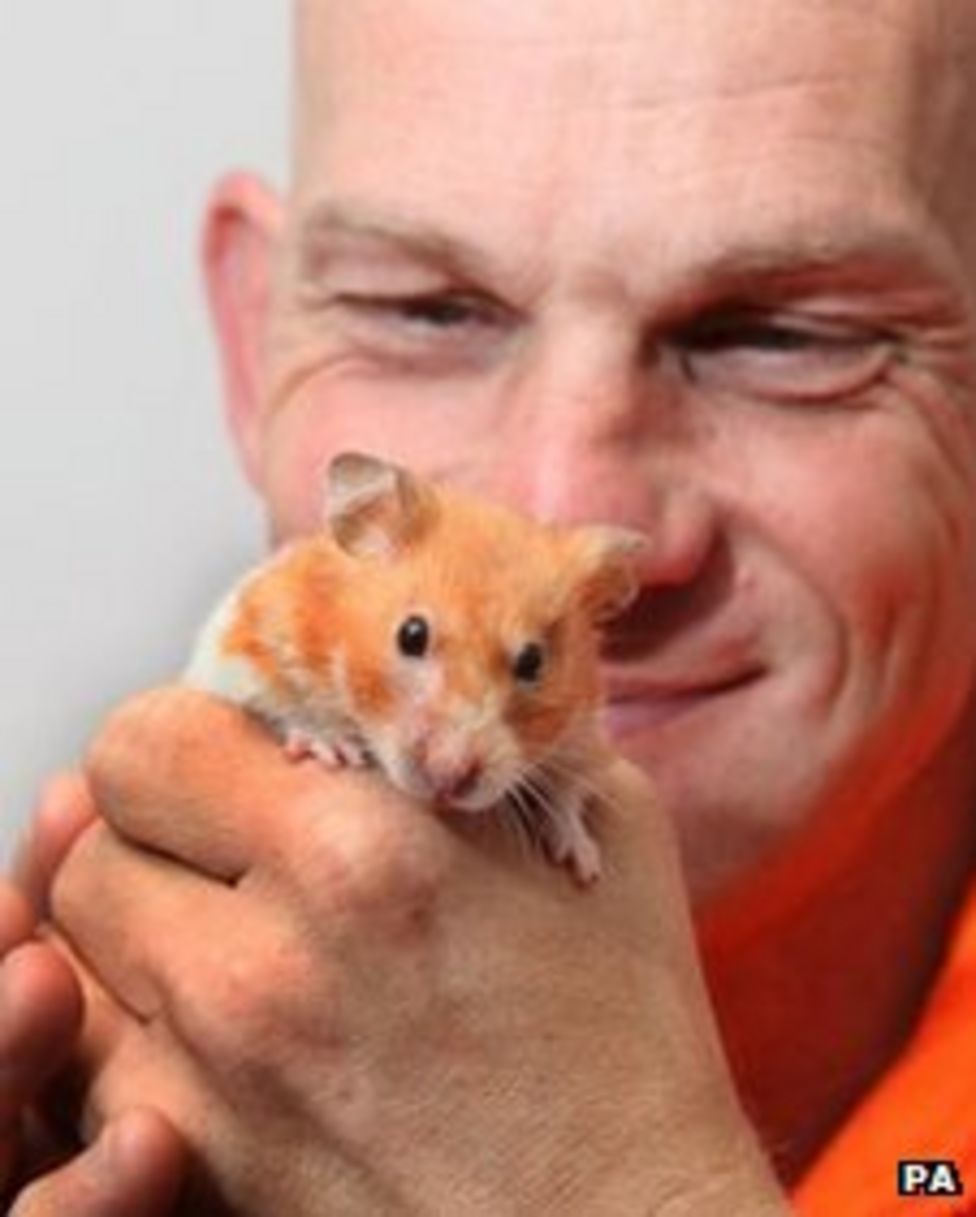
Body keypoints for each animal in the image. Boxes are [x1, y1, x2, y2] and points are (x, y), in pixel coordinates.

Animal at [184, 452, 644, 885]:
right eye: (411, 634)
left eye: (533, 661)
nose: (448, 782)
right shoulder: (248, 642)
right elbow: (283, 703)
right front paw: (334, 749)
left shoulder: (583, 733)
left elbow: (570, 790)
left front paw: (582, 863)